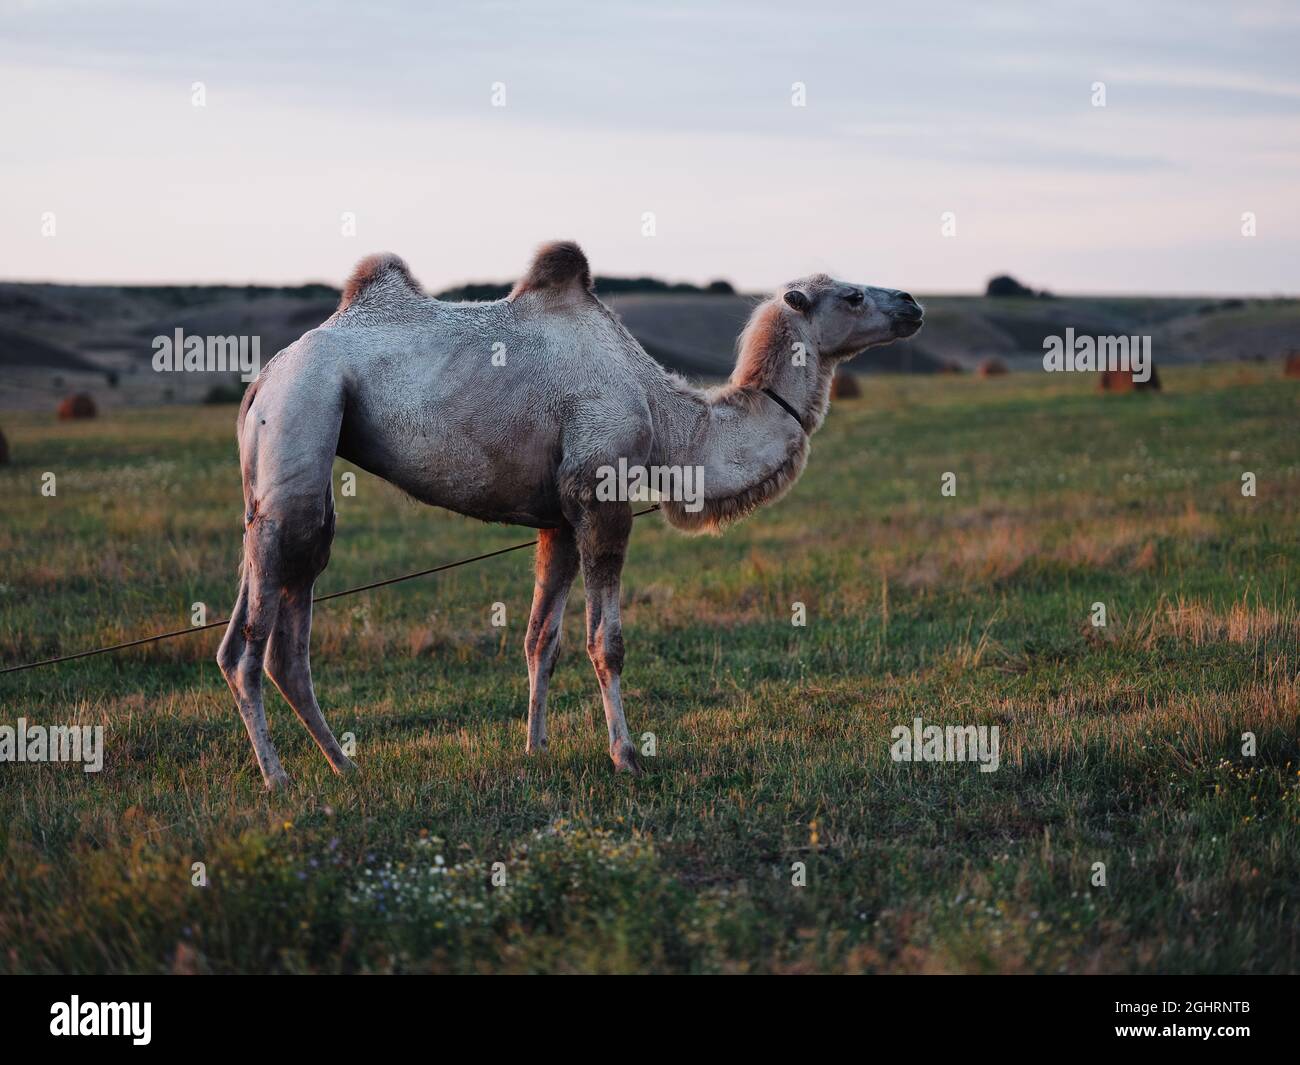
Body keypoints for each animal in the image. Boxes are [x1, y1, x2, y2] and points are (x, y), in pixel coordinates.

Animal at [217, 241, 923, 789]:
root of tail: (266, 375)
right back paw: (279, 779)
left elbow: (541, 638)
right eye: (852, 296)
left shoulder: (558, 516)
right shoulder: (600, 496)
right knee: (254, 640)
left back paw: (344, 765)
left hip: (282, 477)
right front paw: (627, 755)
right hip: (303, 416)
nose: (913, 304)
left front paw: (536, 748)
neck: (670, 420)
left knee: (276, 630)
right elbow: (606, 642)